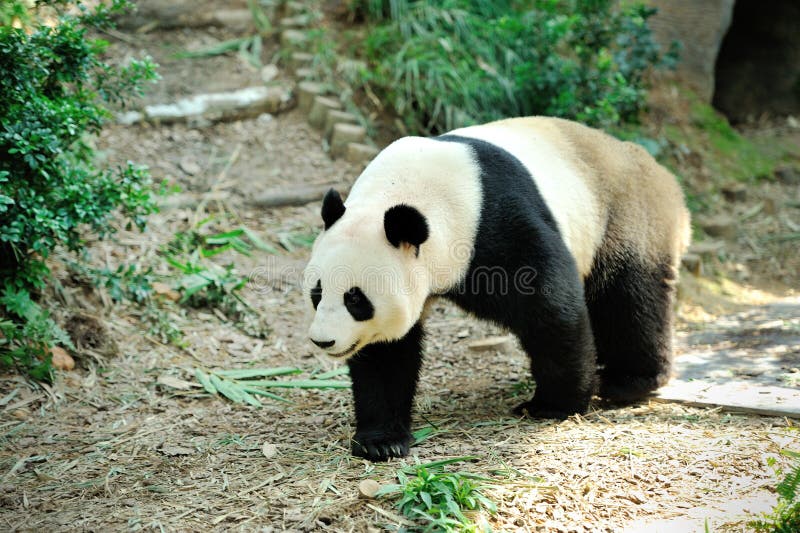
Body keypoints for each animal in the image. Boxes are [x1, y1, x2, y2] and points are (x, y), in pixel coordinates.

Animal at [303, 116, 691, 461]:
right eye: (317, 293)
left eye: (356, 299)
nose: (324, 341)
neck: (406, 189)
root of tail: (664, 177)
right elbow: (386, 351)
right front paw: (381, 441)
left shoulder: (491, 224)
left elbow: (549, 307)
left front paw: (554, 404)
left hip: (623, 215)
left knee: (629, 300)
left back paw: (628, 380)